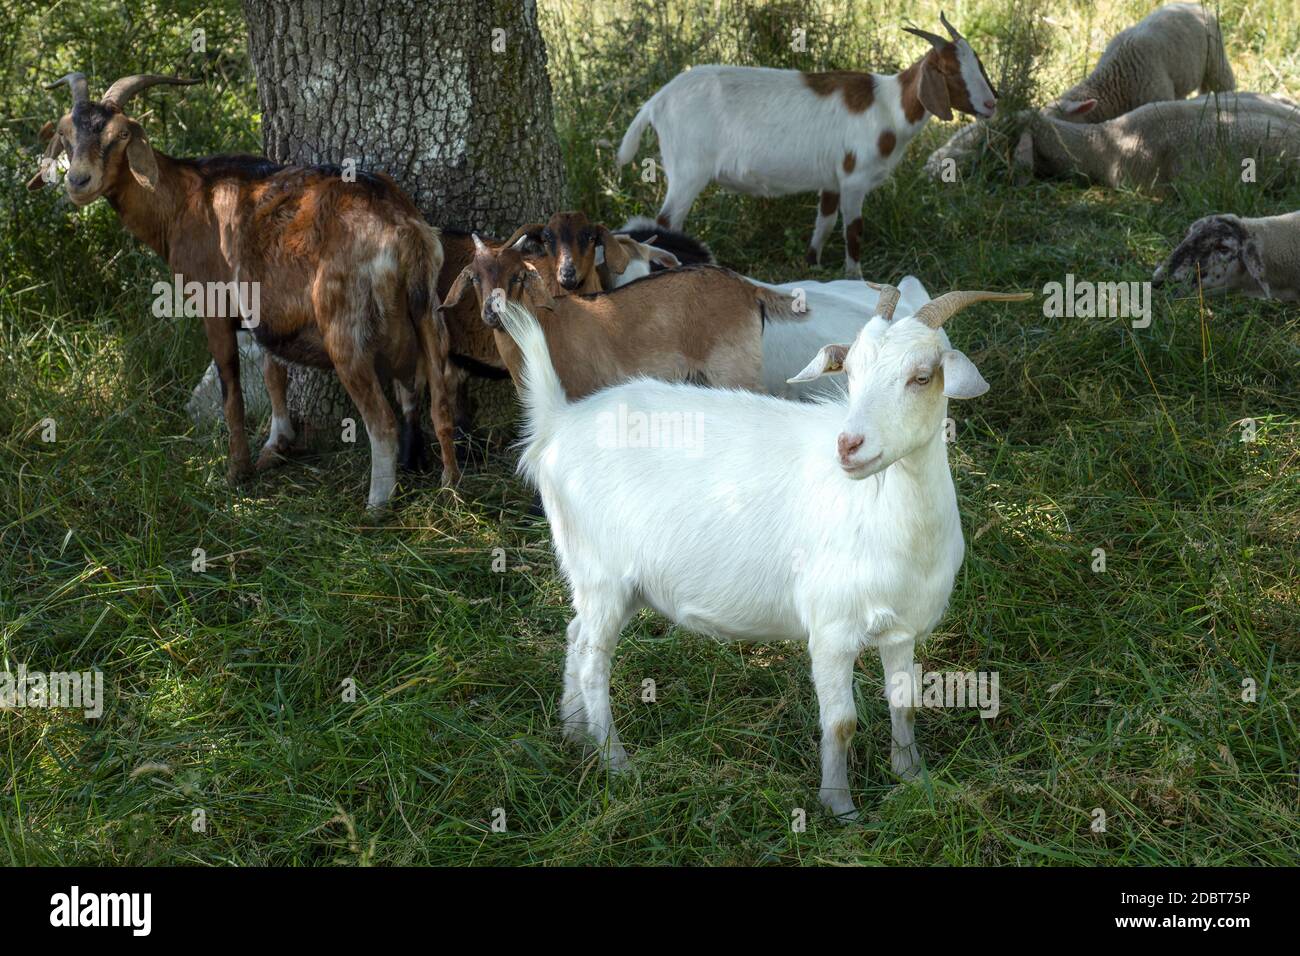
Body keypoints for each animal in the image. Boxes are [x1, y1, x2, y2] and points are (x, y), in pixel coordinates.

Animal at [28, 72, 452, 509]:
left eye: (122, 134)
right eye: (65, 133)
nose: (78, 181)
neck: (184, 199)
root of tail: (402, 229)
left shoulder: (214, 305)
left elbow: (232, 389)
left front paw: (237, 472)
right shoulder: (265, 310)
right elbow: (272, 370)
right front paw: (276, 445)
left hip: (344, 328)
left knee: (382, 420)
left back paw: (377, 503)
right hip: (428, 310)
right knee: (437, 401)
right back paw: (444, 483)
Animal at [495, 286, 1031, 819]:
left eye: (921, 377)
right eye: (851, 373)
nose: (848, 444)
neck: (885, 512)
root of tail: (558, 423)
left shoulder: (901, 628)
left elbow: (906, 704)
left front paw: (913, 779)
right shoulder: (831, 630)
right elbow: (841, 723)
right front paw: (841, 809)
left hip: (609, 583)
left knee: (575, 634)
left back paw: (573, 734)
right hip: (602, 574)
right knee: (593, 660)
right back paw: (617, 763)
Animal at [616, 13, 997, 276]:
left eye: (977, 62)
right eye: (949, 71)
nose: (991, 104)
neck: (889, 106)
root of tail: (656, 101)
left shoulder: (832, 179)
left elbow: (824, 223)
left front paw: (812, 264)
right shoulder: (855, 178)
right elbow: (853, 230)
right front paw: (855, 276)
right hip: (687, 171)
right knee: (666, 221)